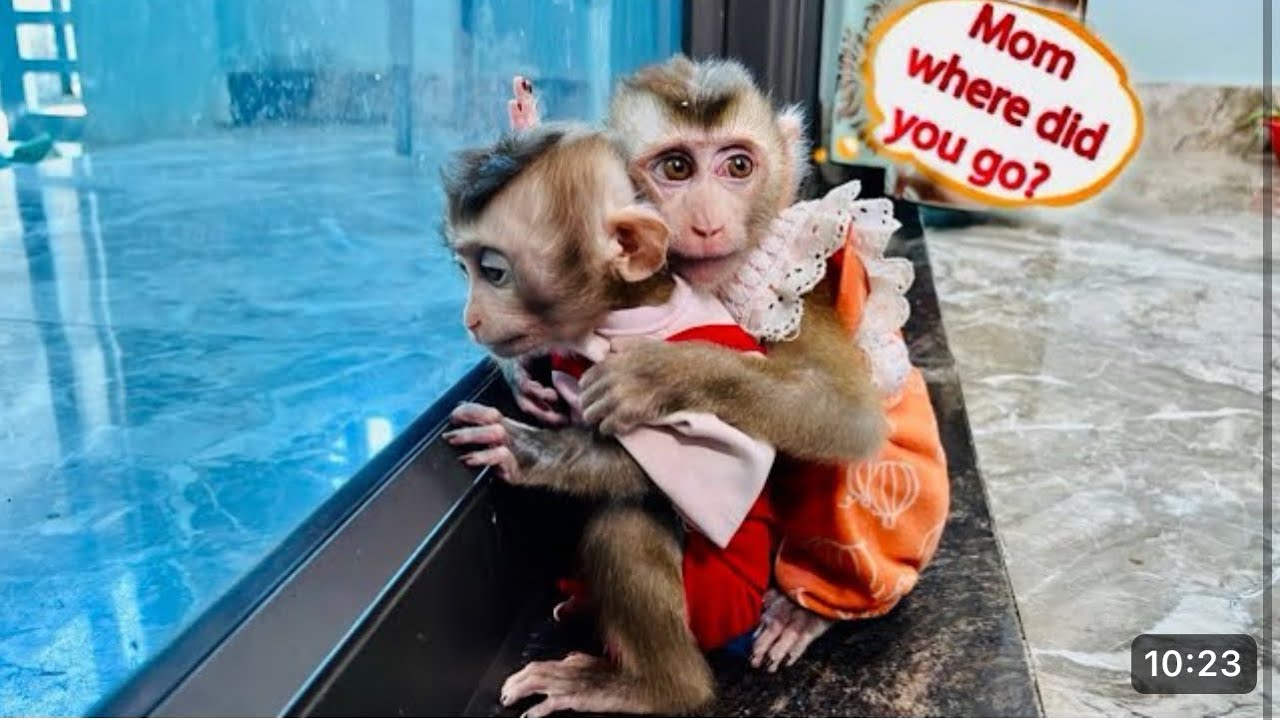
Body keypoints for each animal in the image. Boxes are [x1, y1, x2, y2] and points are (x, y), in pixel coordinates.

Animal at [439, 124, 780, 716]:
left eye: (494, 272)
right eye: (464, 271)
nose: (470, 319)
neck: (623, 315)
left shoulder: (706, 361)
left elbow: (696, 469)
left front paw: (526, 449)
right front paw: (524, 381)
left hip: (717, 604)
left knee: (626, 519)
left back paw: (654, 687)